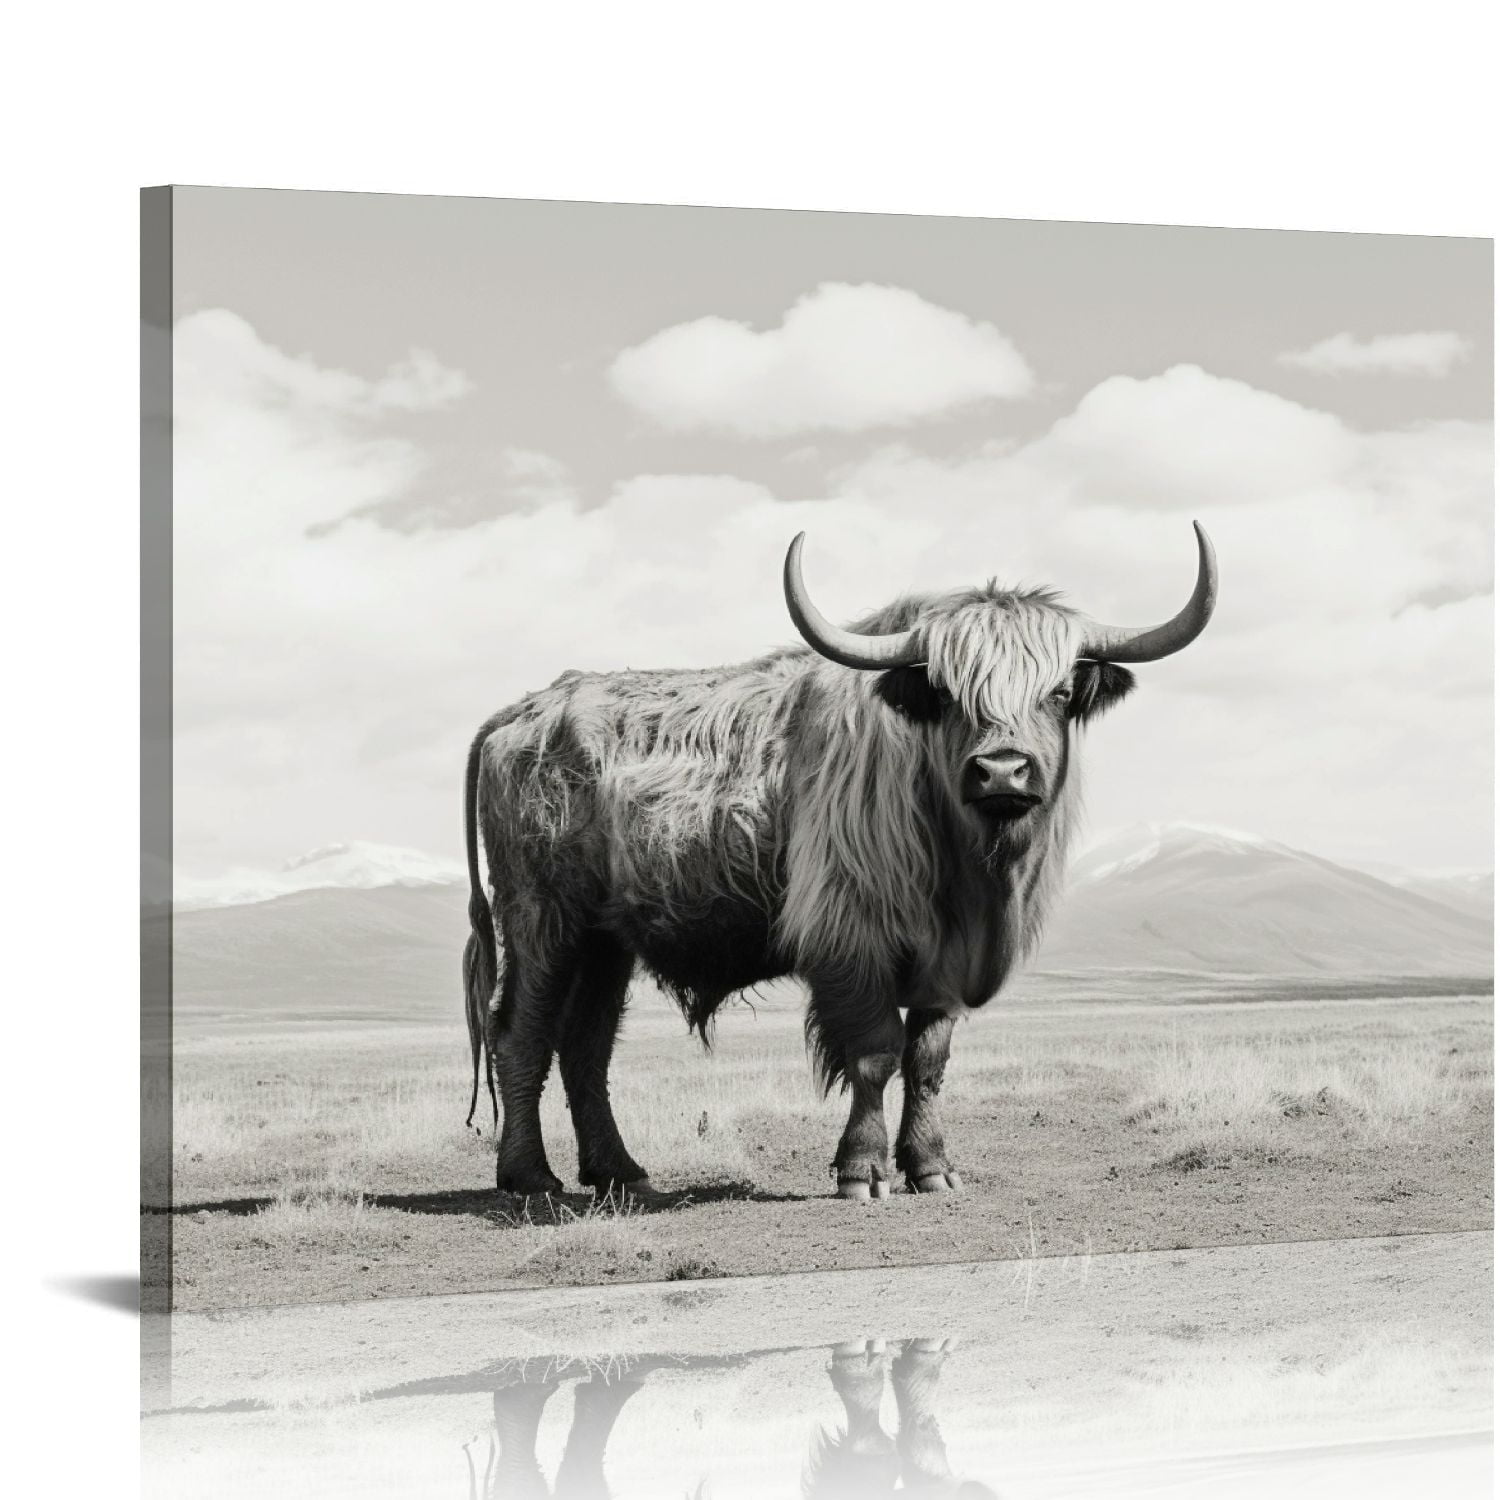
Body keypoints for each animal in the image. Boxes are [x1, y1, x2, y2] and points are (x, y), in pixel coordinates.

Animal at [463, 525, 1216, 1200]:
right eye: (946, 693)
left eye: (1058, 692)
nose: (1002, 771)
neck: (965, 865)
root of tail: (521, 713)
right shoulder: (851, 940)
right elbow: (875, 1052)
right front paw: (862, 1172)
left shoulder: (944, 961)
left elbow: (928, 1059)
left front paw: (932, 1169)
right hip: (543, 921)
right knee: (521, 1033)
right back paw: (531, 1179)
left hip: (606, 942)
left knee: (584, 1047)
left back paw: (621, 1173)